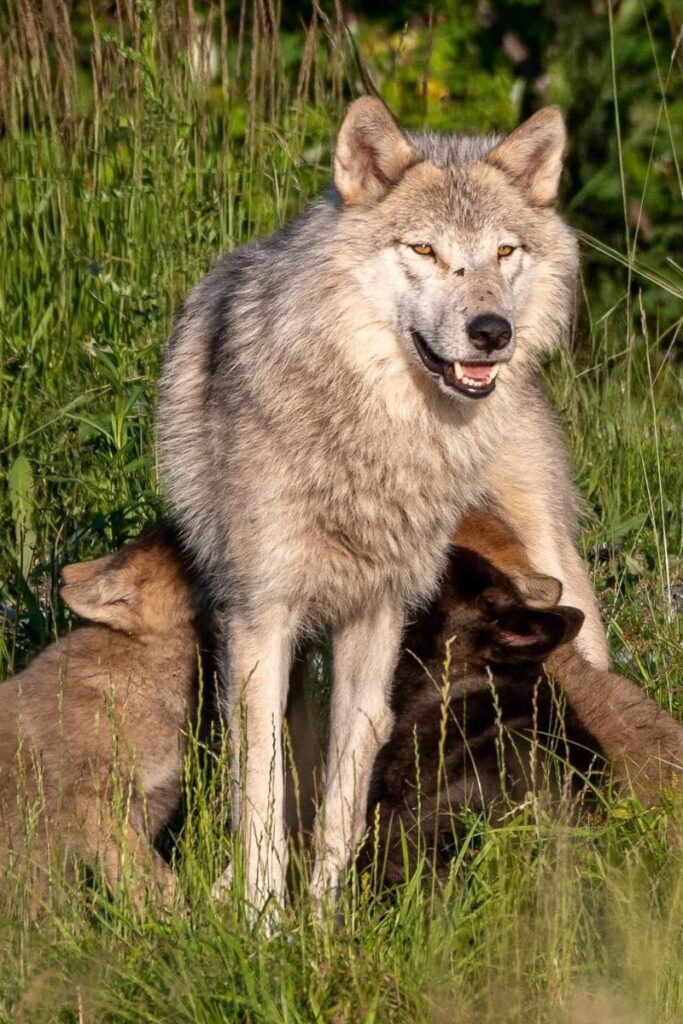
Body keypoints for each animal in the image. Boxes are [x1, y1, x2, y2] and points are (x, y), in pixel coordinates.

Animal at [158, 97, 609, 908]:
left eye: (504, 252)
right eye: (424, 249)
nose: (491, 332)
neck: (381, 439)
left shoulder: (377, 614)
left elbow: (346, 790)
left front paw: (325, 916)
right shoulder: (260, 616)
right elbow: (265, 790)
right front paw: (264, 918)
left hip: (554, 567)